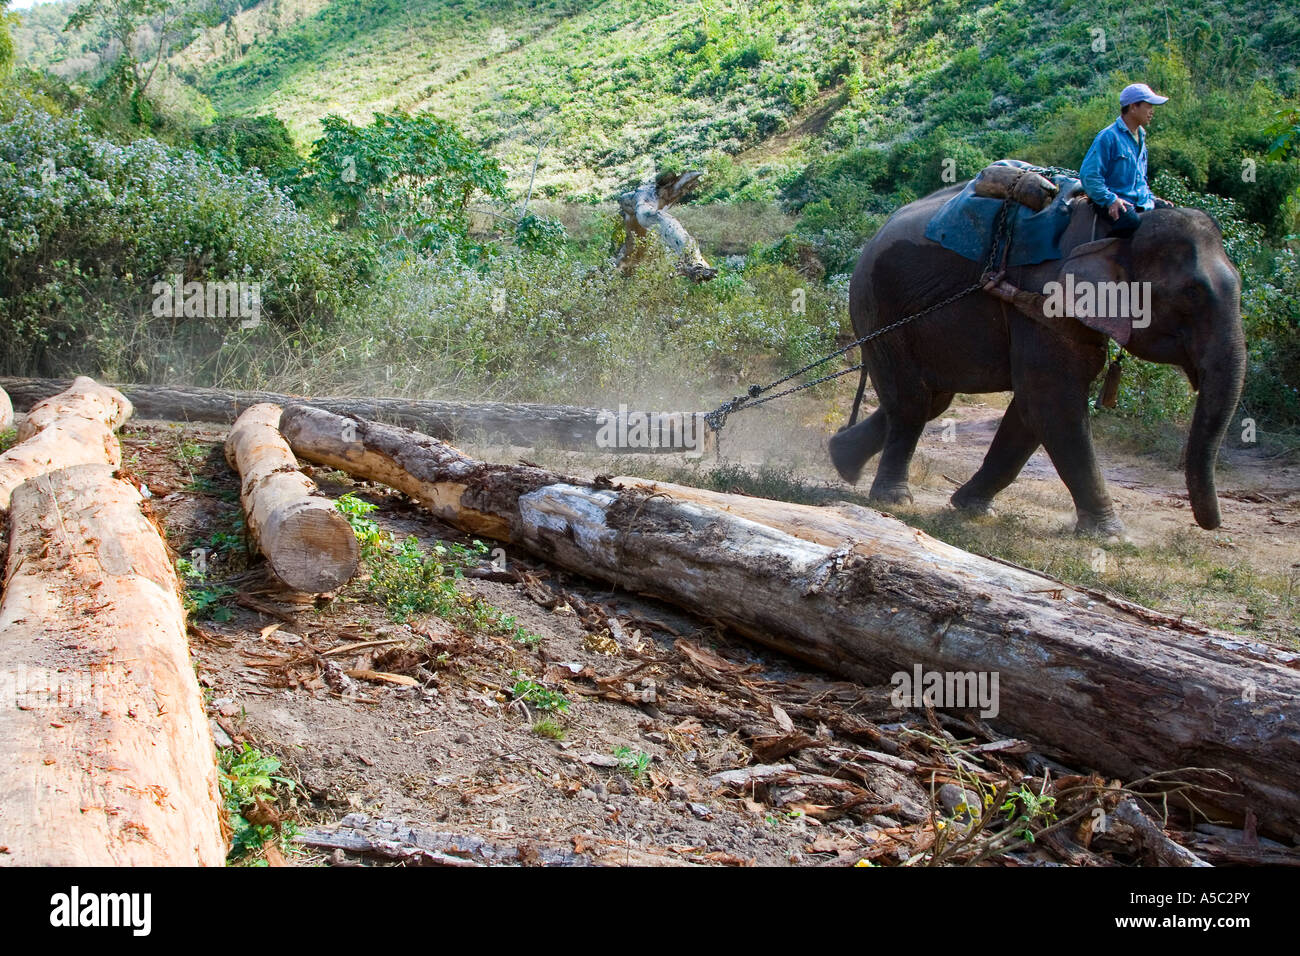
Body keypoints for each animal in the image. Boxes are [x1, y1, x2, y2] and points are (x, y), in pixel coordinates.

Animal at [827, 182, 1246, 535]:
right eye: (1191, 293)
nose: (1213, 525)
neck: (1113, 233)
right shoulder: (1043, 297)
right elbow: (1051, 404)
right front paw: (1110, 535)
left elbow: (1031, 411)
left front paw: (972, 508)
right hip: (881, 308)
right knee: (913, 403)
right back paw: (893, 498)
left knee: (931, 400)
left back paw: (841, 460)